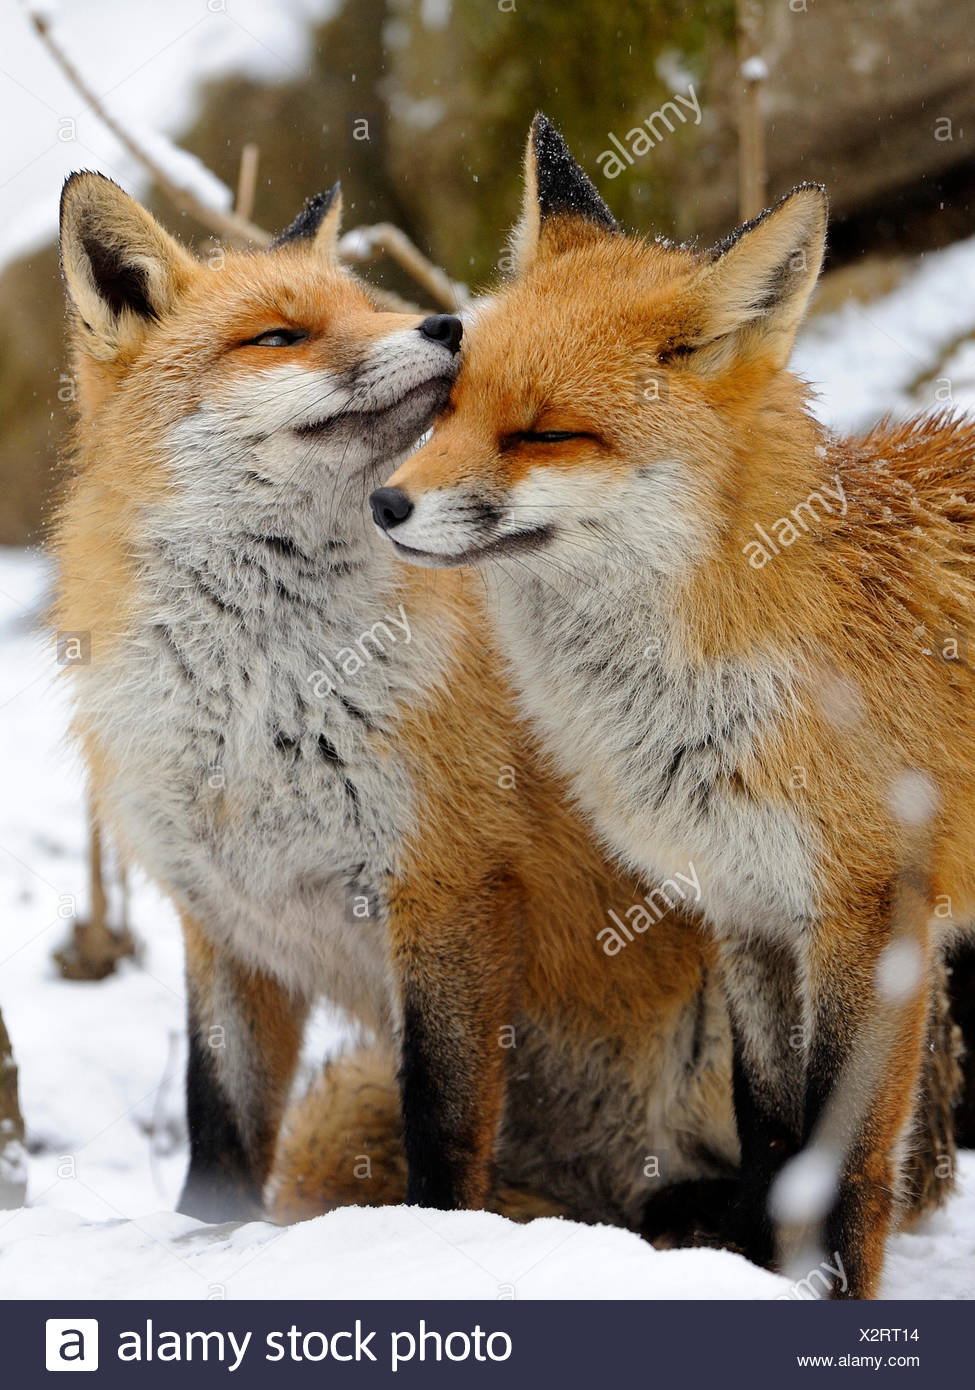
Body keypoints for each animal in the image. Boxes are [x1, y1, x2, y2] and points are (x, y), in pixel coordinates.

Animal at [52, 170, 758, 1240]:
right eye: (278, 336)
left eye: (365, 302)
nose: (447, 322)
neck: (258, 704)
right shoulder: (224, 923)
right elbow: (218, 1127)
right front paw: (208, 1242)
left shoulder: (447, 882)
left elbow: (443, 1117)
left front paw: (430, 1243)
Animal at [369, 114, 975, 1297]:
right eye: (450, 402)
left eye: (545, 435)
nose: (385, 503)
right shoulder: (744, 909)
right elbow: (773, 1133)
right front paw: (755, 1275)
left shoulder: (871, 916)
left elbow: (844, 1164)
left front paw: (835, 1297)